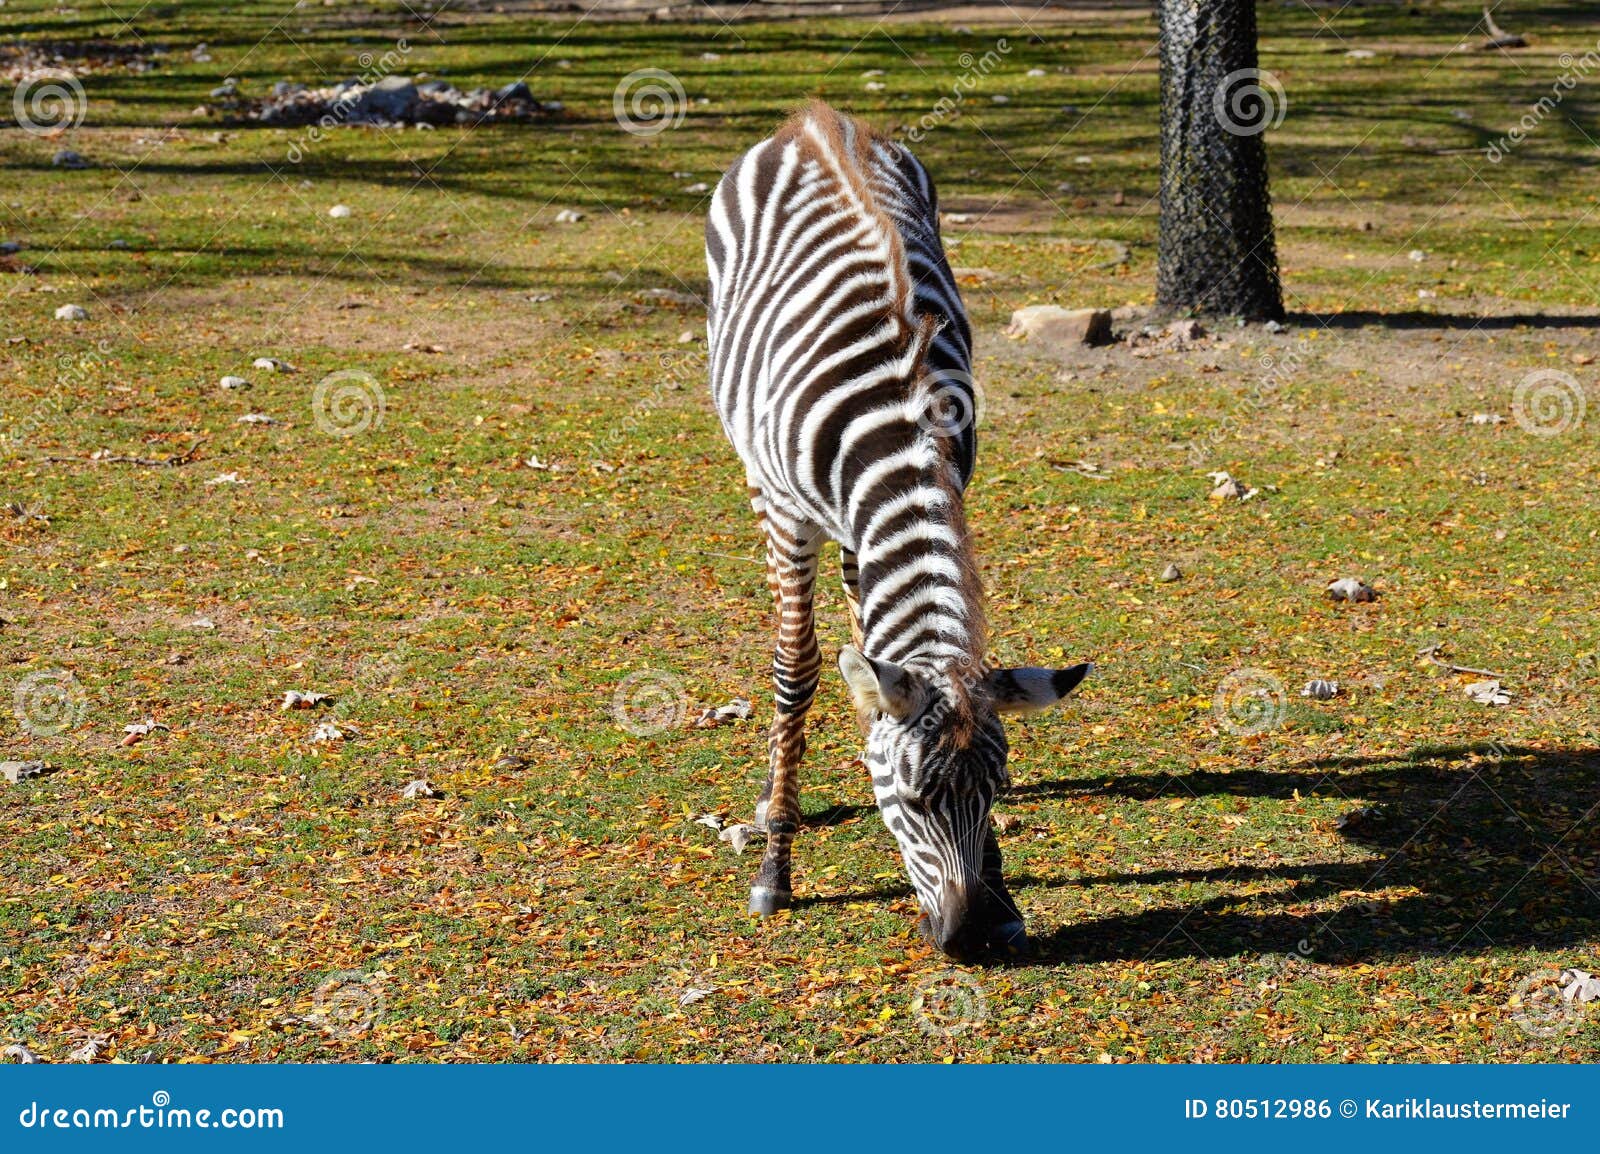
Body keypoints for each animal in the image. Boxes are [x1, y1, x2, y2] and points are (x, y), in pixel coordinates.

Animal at [705, 102, 1091, 959]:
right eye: (912, 800)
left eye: (998, 791)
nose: (968, 938)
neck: (895, 414)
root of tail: (813, 121)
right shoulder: (789, 515)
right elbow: (797, 669)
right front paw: (776, 871)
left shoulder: (947, 483)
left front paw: (1002, 888)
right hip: (760, 479)